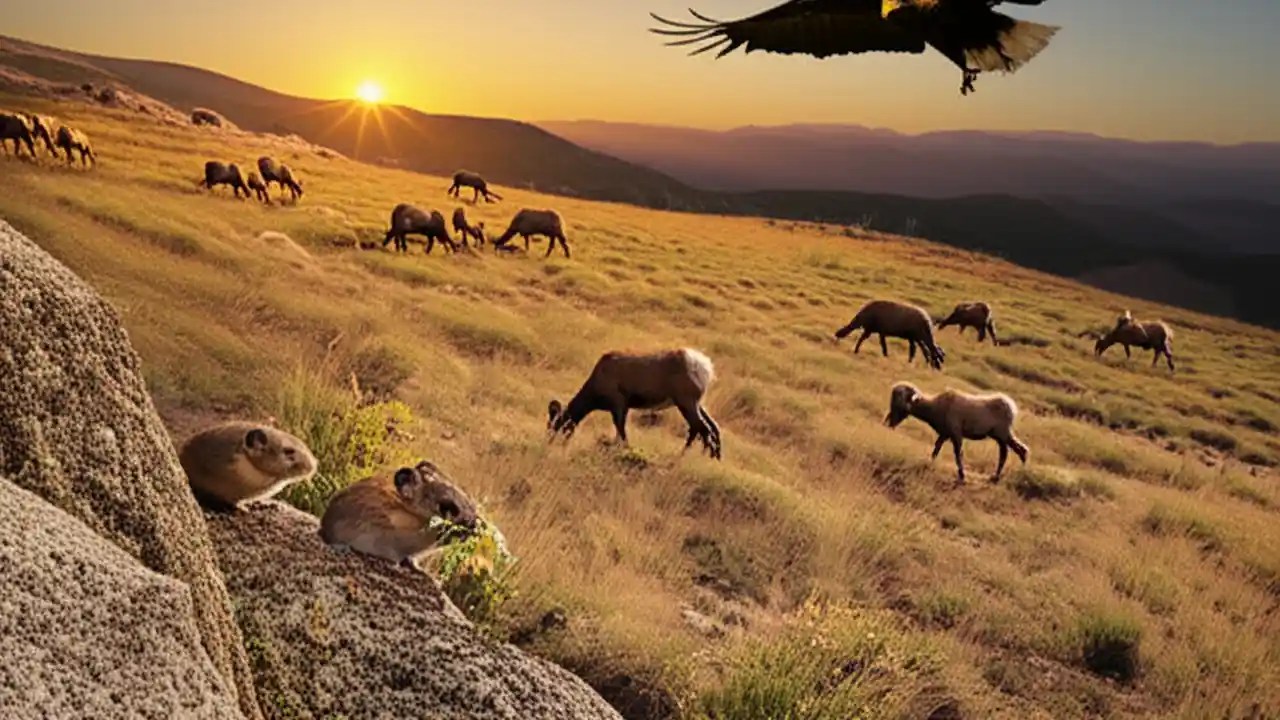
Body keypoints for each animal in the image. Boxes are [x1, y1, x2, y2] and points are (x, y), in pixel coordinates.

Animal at [548, 348, 722, 460]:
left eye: (557, 424)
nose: (550, 443)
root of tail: (705, 366)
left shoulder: (619, 407)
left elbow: (621, 429)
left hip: (686, 404)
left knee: (701, 428)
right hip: (696, 405)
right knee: (710, 427)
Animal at [884, 381, 1029, 485]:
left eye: (900, 402)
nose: (890, 424)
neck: (934, 407)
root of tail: (1011, 407)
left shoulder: (956, 433)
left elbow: (958, 454)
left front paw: (962, 476)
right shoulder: (945, 433)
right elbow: (936, 448)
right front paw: (930, 462)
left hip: (1002, 433)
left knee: (1006, 453)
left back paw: (998, 476)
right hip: (1000, 435)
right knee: (1019, 450)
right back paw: (1017, 470)